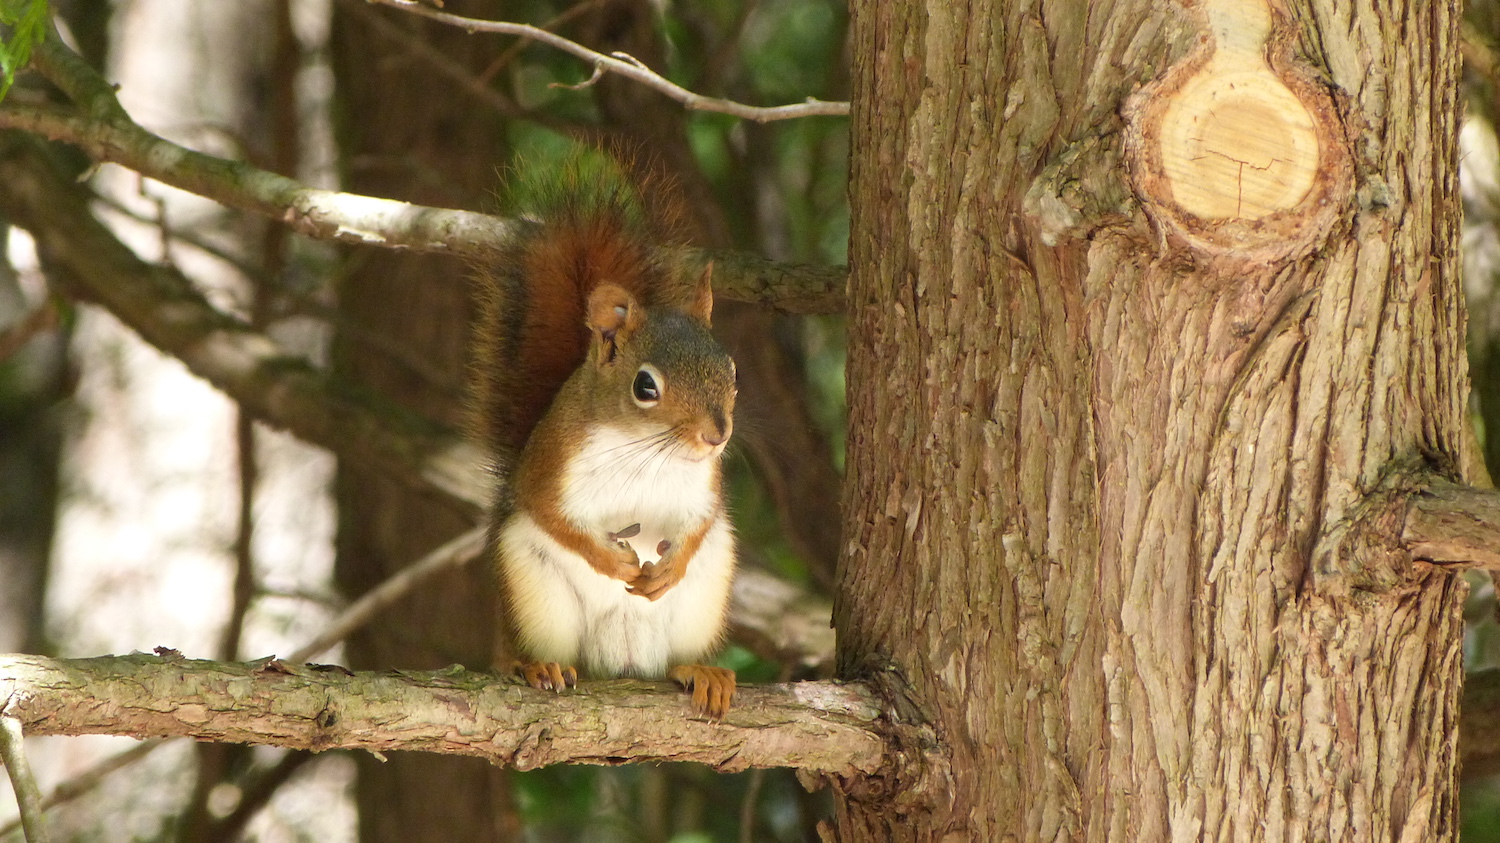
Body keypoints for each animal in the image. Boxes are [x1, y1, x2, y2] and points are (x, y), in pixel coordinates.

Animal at [470, 161, 739, 719]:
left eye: (730, 368)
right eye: (645, 386)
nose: (716, 435)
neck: (646, 450)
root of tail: (623, 661)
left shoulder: (705, 488)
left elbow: (700, 524)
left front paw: (665, 569)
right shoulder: (549, 467)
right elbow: (551, 514)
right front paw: (612, 561)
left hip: (704, 594)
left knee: (678, 656)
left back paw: (699, 671)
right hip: (534, 592)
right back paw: (537, 666)